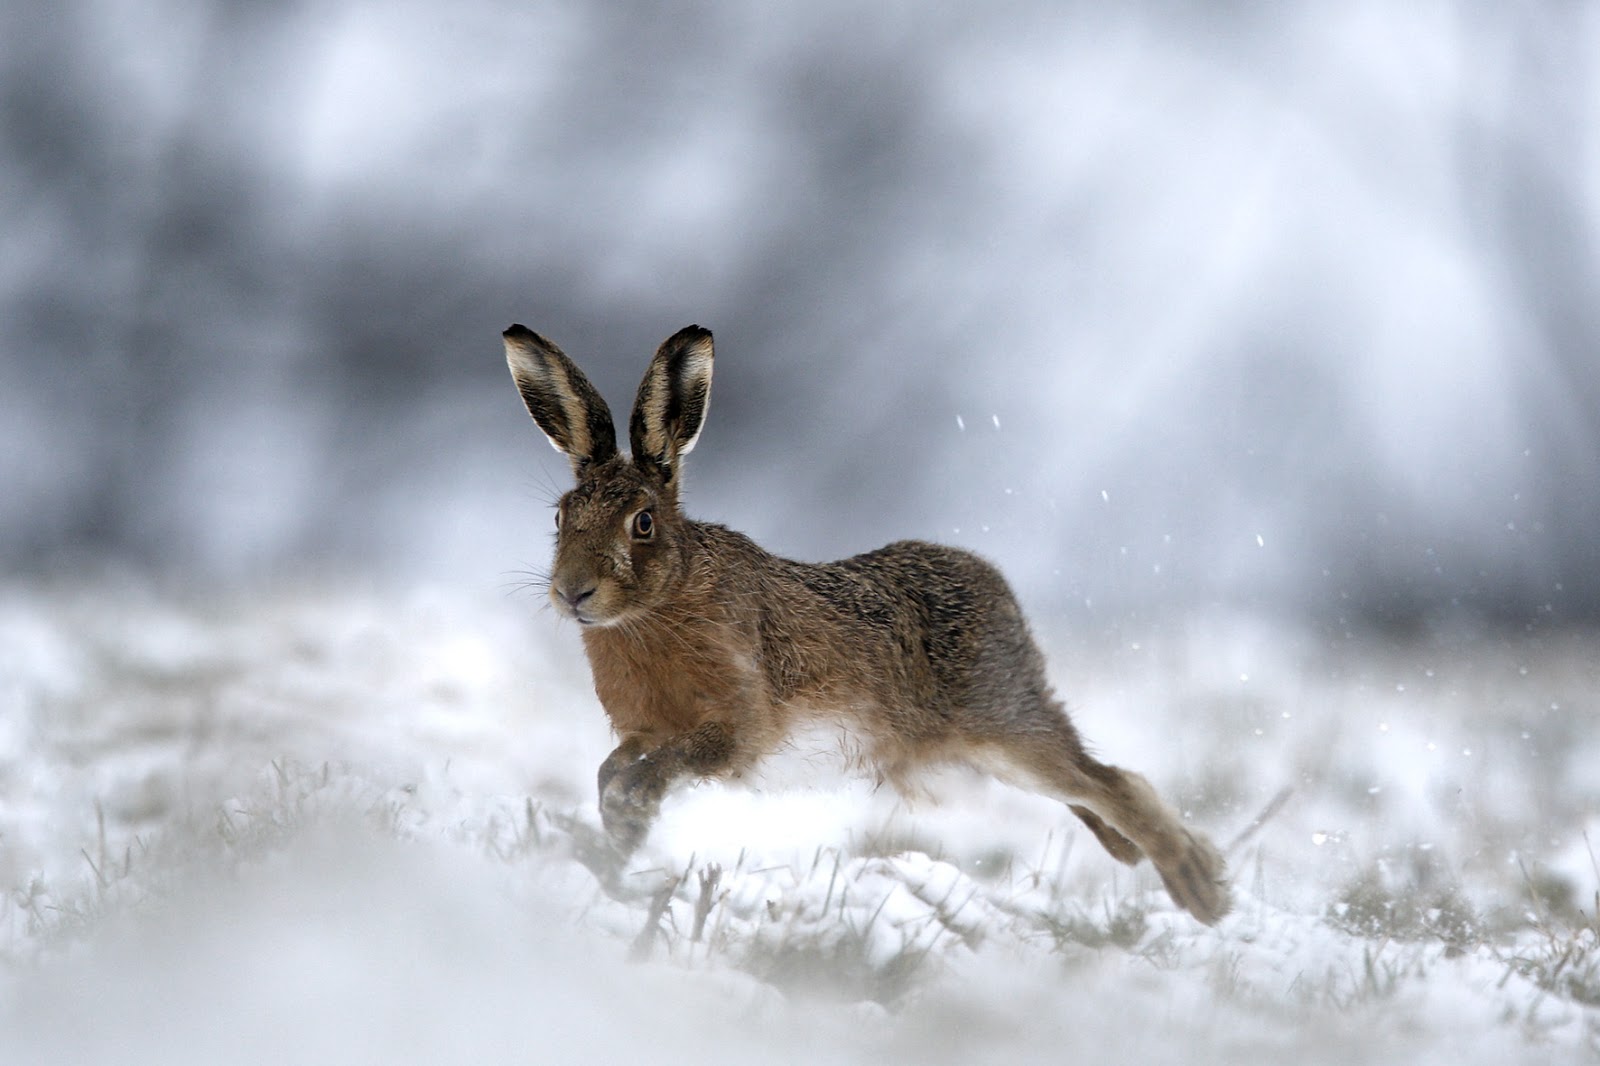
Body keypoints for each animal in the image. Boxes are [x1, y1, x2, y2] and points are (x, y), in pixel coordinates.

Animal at [503, 323, 1231, 925]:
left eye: (644, 523)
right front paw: (615, 828)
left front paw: (630, 817)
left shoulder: (738, 728)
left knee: (1113, 784)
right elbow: (611, 769)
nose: (573, 592)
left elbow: (666, 765)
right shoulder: (642, 730)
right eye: (561, 516)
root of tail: (997, 588)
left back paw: (1202, 888)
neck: (662, 602)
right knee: (1096, 788)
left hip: (1005, 729)